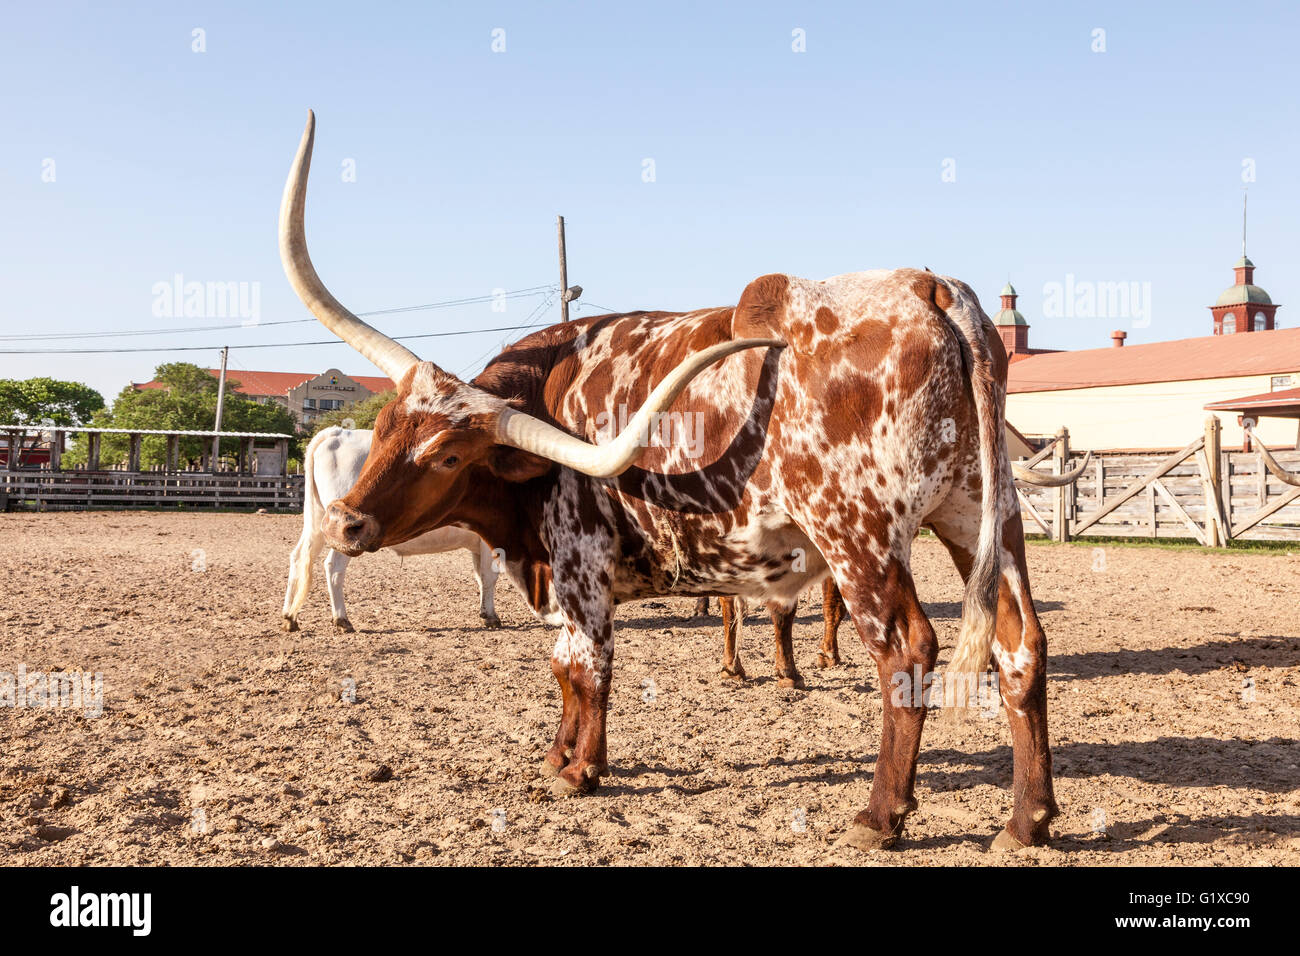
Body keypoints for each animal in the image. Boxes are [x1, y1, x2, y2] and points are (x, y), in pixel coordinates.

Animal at [284, 424, 501, 629]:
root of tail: (339, 432)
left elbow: (480, 576)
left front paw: (485, 611)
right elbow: (489, 576)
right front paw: (491, 616)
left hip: (318, 521)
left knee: (299, 556)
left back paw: (290, 617)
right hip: (345, 531)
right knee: (333, 567)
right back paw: (341, 619)